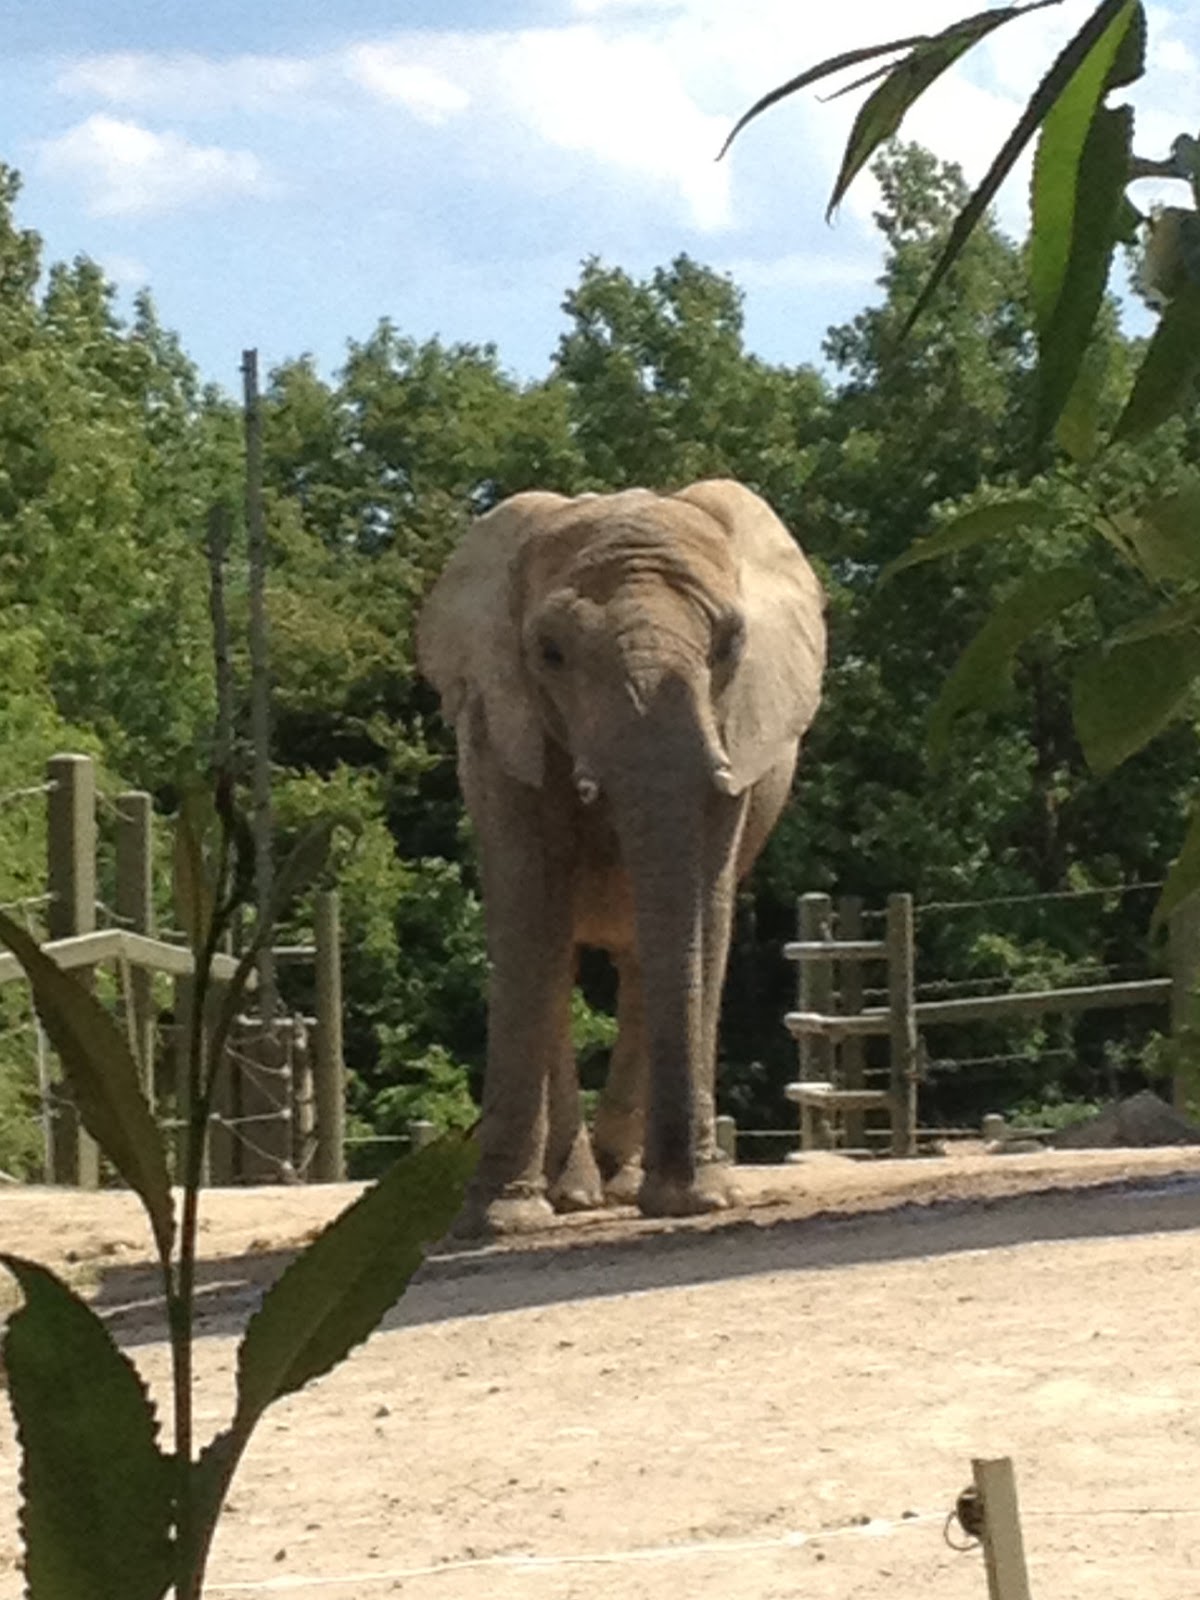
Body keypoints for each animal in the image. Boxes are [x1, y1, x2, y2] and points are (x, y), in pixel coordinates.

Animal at [417, 478, 826, 1235]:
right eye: (549, 653)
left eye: (729, 643)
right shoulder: (502, 732)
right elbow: (531, 913)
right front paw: (502, 1221)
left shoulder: (738, 731)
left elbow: (704, 911)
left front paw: (696, 1200)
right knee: (554, 955)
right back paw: (577, 1192)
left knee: (642, 960)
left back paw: (618, 1181)